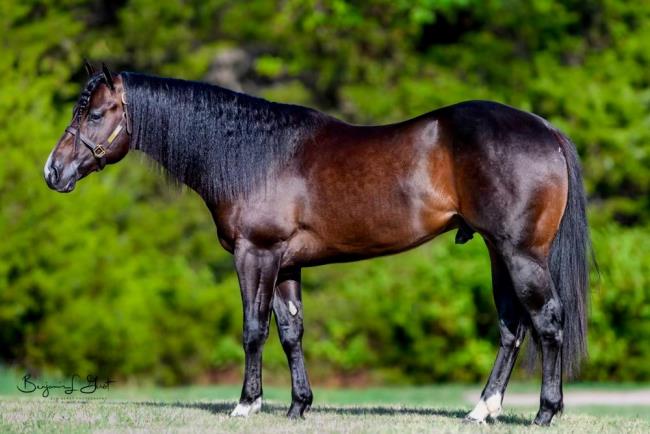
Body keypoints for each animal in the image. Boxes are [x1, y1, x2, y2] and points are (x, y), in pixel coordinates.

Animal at [44, 62, 591, 426]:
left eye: (97, 113)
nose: (53, 172)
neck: (253, 155)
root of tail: (545, 129)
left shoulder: (256, 254)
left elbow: (253, 329)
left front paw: (246, 404)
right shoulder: (286, 264)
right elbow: (291, 332)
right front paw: (297, 406)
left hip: (520, 253)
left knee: (546, 321)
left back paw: (545, 412)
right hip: (500, 253)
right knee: (512, 328)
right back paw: (482, 409)